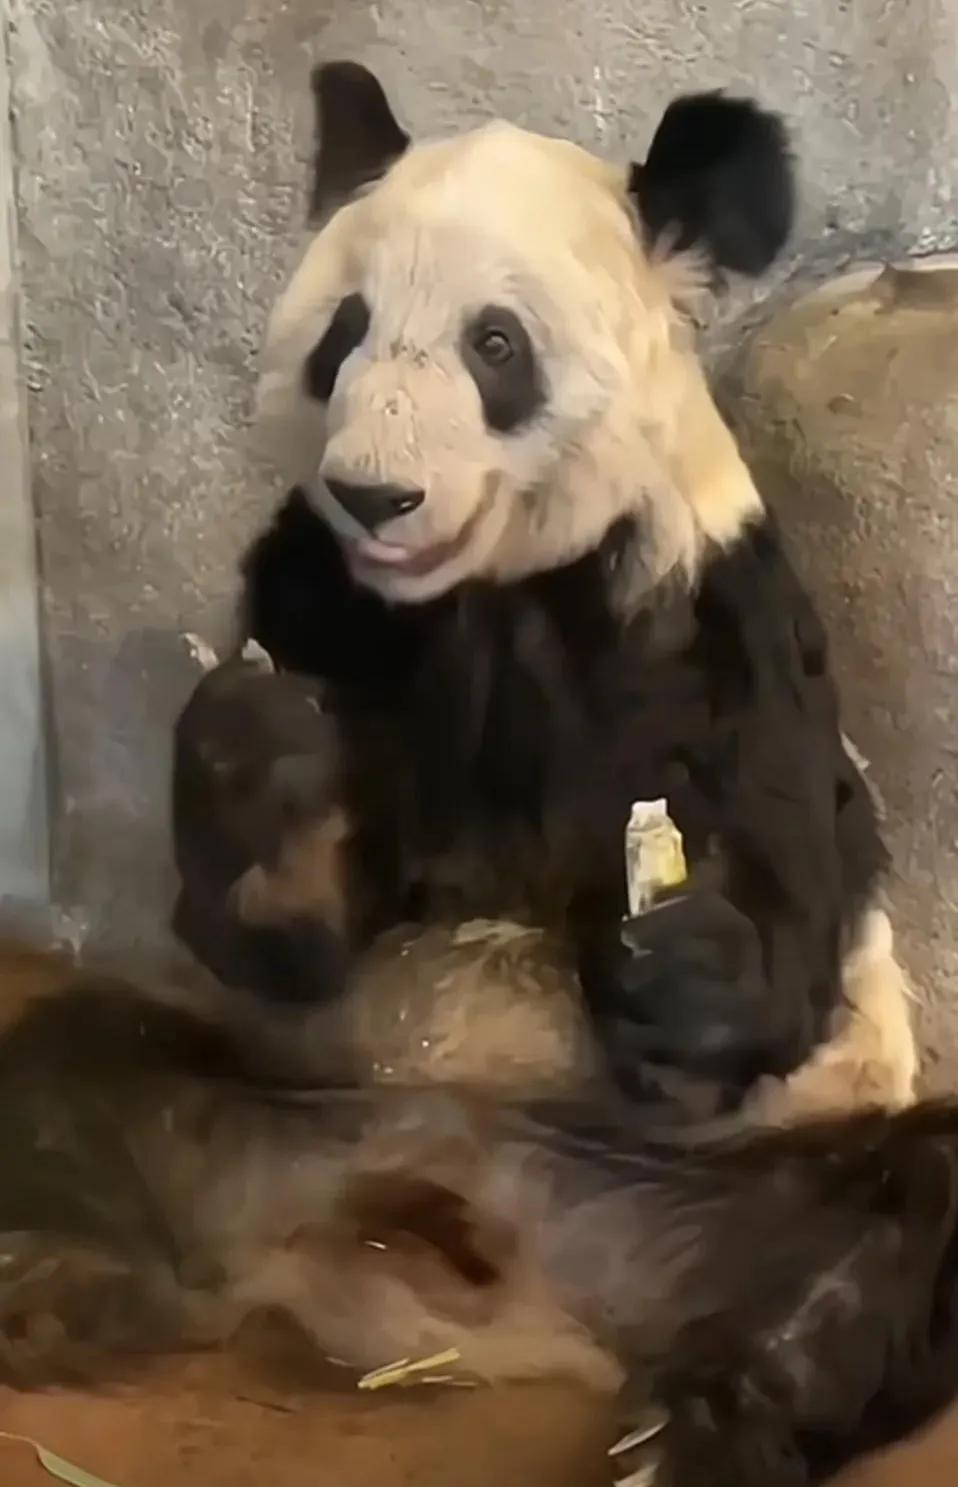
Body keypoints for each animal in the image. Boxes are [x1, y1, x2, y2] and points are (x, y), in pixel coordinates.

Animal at [172, 61, 916, 1120]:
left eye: (494, 344)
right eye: (345, 332)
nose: (374, 496)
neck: (496, 577)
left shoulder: (699, 608)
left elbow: (786, 852)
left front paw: (692, 974)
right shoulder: (325, 597)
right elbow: (297, 934)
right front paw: (263, 776)